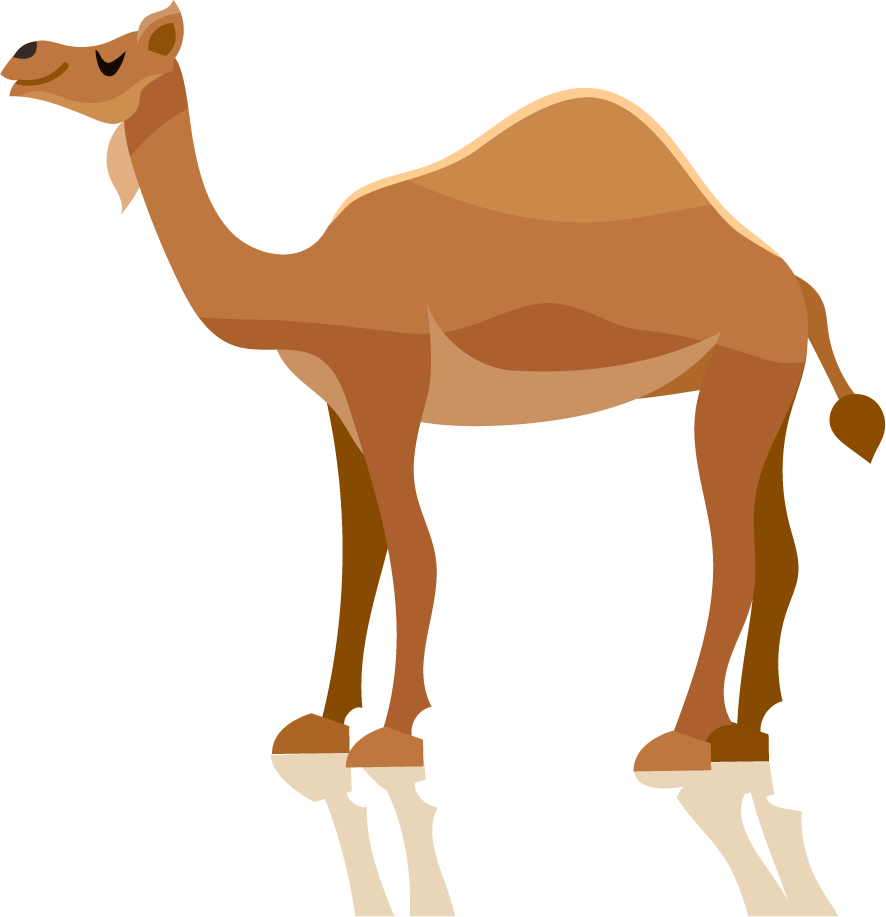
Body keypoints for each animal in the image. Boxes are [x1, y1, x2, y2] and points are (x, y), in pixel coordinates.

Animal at [6, 4, 881, 914]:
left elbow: (417, 550)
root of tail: (797, 286)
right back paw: (743, 740)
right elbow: (361, 553)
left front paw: (394, 738)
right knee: (782, 551)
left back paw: (680, 743)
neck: (302, 291)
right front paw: (321, 729)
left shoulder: (392, 390)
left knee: (736, 552)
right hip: (760, 394)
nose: (23, 56)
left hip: (740, 384)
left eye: (112, 58)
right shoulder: (340, 407)